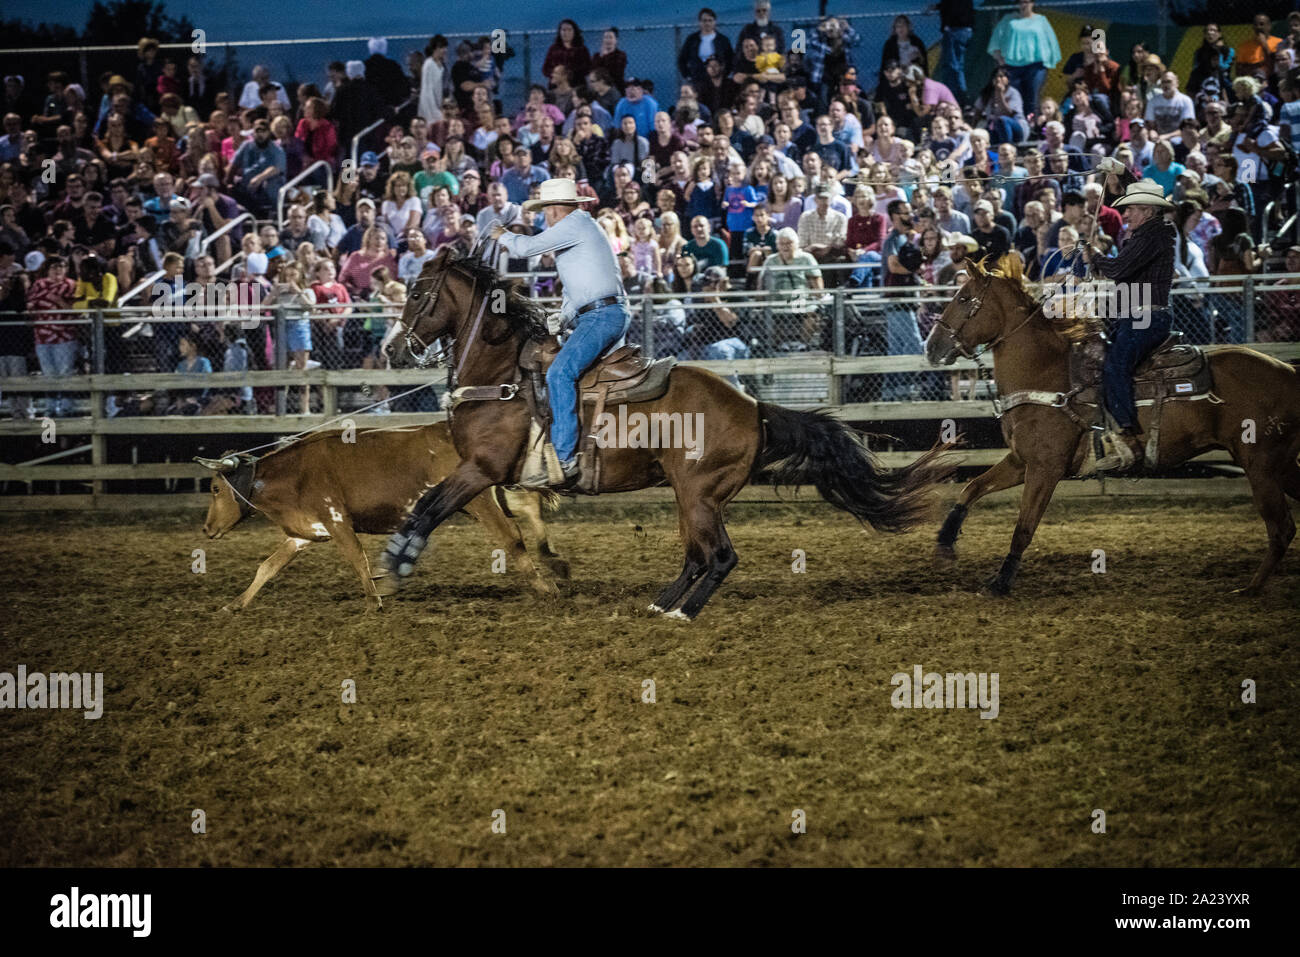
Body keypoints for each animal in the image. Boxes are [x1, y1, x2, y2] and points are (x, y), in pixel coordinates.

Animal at [197, 423, 567, 611]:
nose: (207, 529)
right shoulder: (302, 533)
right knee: (527, 508)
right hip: (484, 496)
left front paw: (373, 599)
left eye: (215, 488)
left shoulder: (337, 520)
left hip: (477, 500)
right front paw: (236, 604)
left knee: (511, 537)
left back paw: (545, 586)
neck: (293, 473)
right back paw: (553, 560)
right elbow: (268, 567)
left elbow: (357, 559)